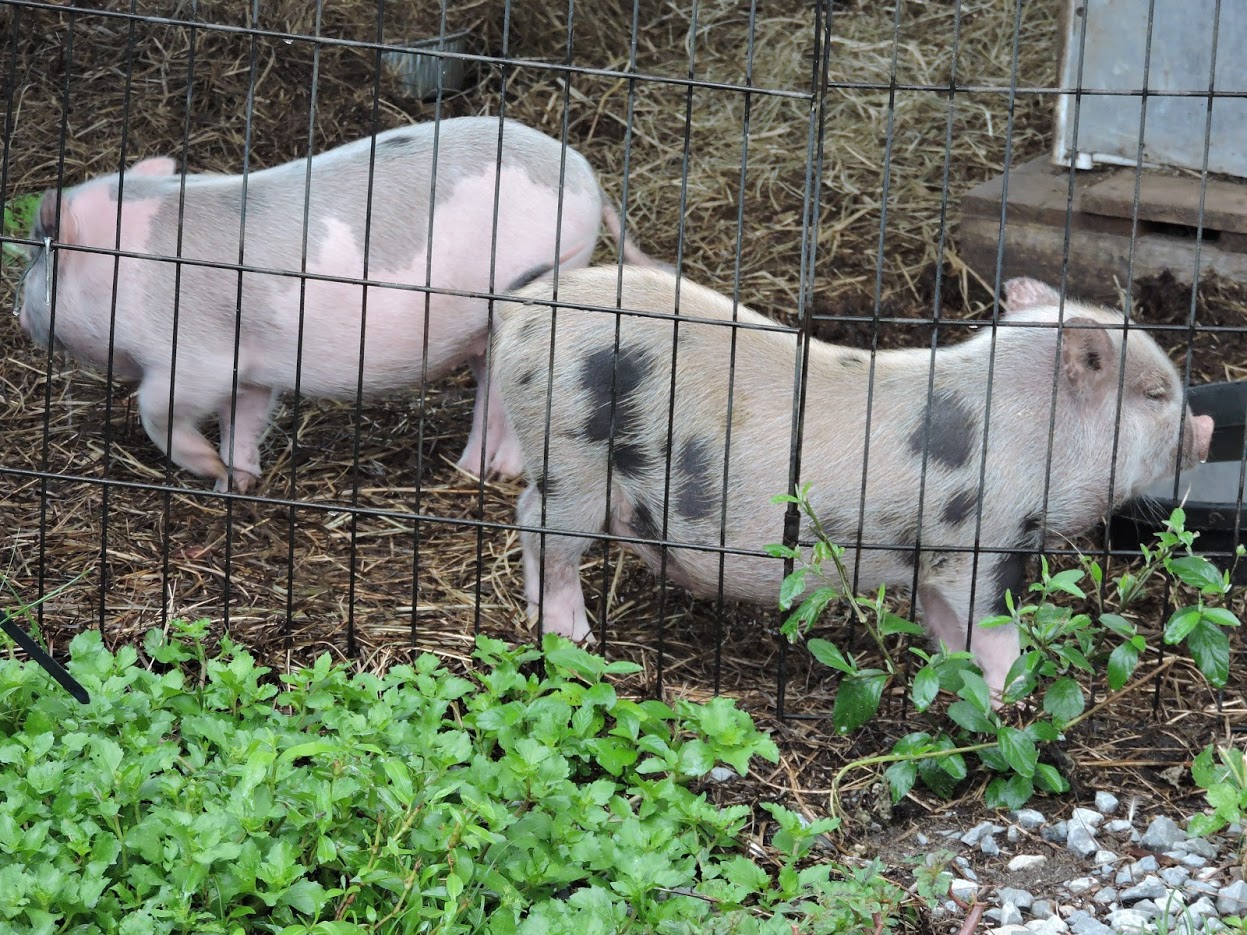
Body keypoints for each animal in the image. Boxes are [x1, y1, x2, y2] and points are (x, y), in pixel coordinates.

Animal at [15, 116, 659, 492]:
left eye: (37, 256)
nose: (19, 312)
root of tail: (587, 176)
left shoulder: (195, 356)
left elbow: (155, 408)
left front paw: (208, 469)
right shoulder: (255, 367)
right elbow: (245, 420)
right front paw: (236, 483)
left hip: (537, 280)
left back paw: (487, 473)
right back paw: (467, 470)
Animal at [492, 267, 1213, 702]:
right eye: (1154, 393)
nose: (1204, 425)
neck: (1031, 431)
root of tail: (523, 313)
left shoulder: (931, 554)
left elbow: (943, 622)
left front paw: (953, 680)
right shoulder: (987, 540)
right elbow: (994, 624)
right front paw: (1012, 697)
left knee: (526, 517)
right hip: (572, 459)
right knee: (542, 533)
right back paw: (574, 638)